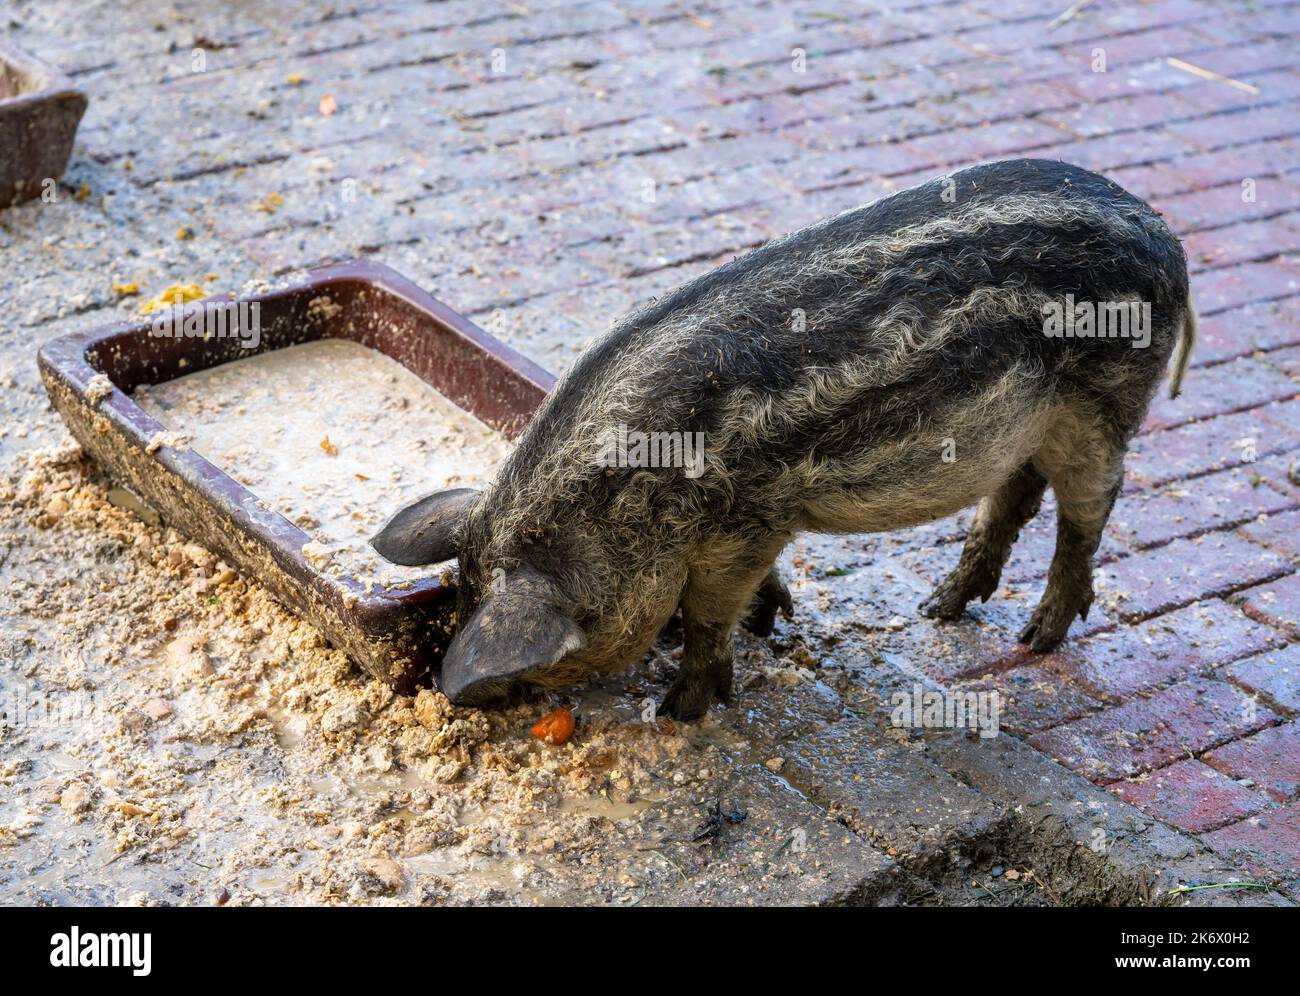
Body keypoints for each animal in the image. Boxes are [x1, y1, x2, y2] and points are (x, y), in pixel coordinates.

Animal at [373, 158, 1195, 720]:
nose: (462, 696)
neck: (630, 499)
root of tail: (1163, 233)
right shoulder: (750, 530)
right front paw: (770, 622)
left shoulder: (747, 523)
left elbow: (710, 615)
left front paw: (679, 709)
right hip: (1028, 426)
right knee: (1017, 496)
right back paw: (939, 608)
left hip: (1104, 406)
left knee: (1090, 508)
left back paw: (1034, 638)